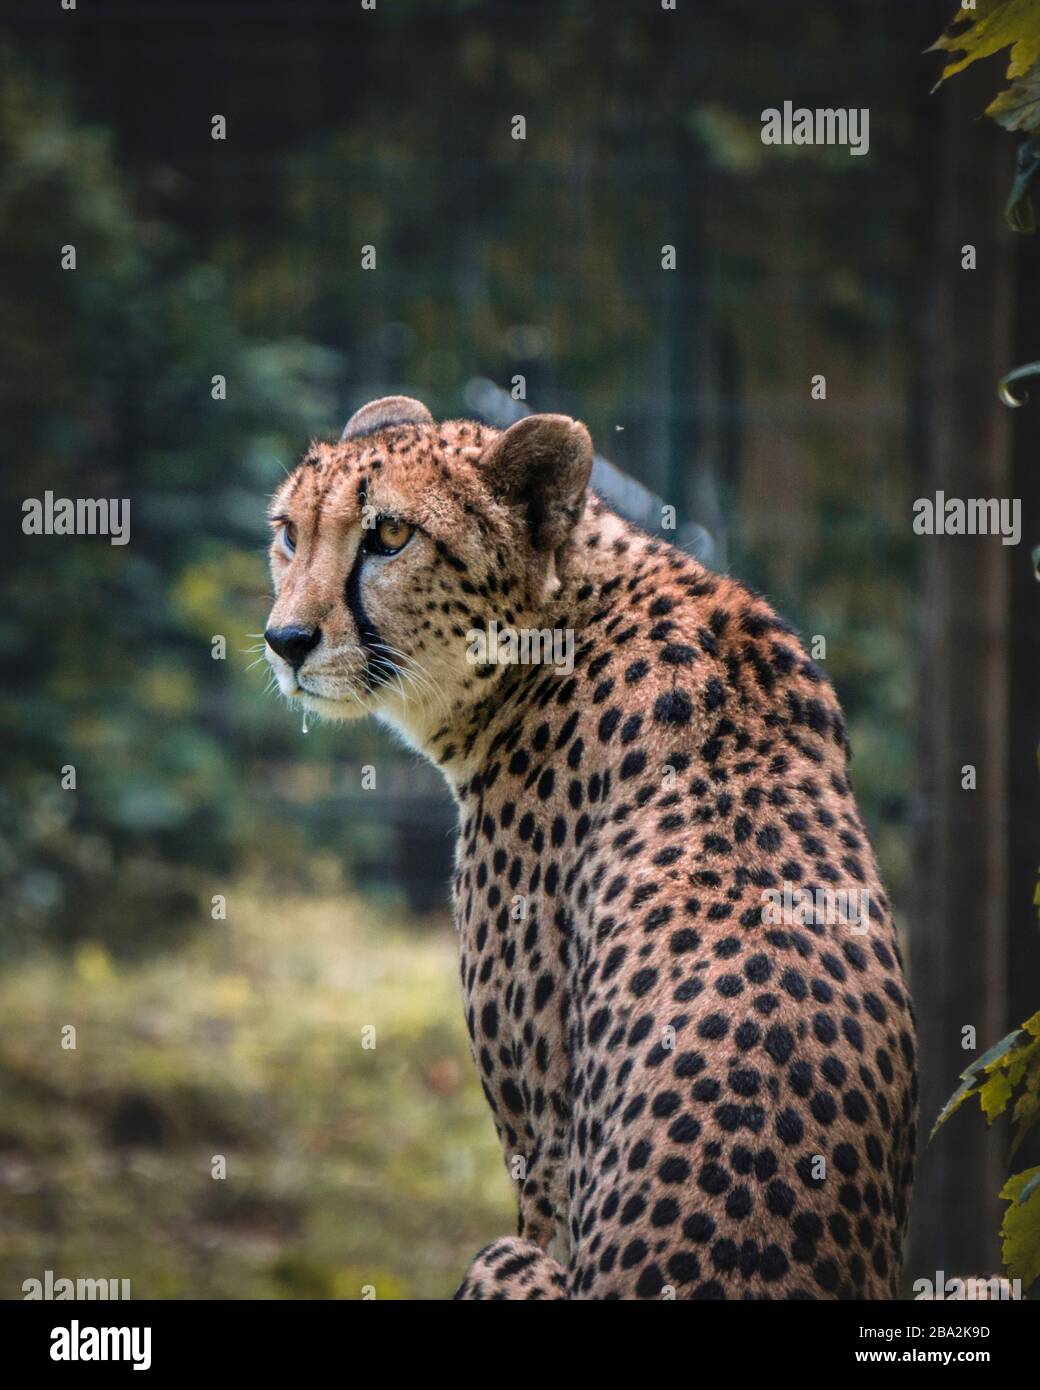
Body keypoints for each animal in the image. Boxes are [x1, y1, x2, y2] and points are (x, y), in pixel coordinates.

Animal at [263, 393, 918, 1300]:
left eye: (389, 535)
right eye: (289, 533)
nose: (285, 640)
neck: (558, 619)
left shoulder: (542, 1157)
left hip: (505, 1257)